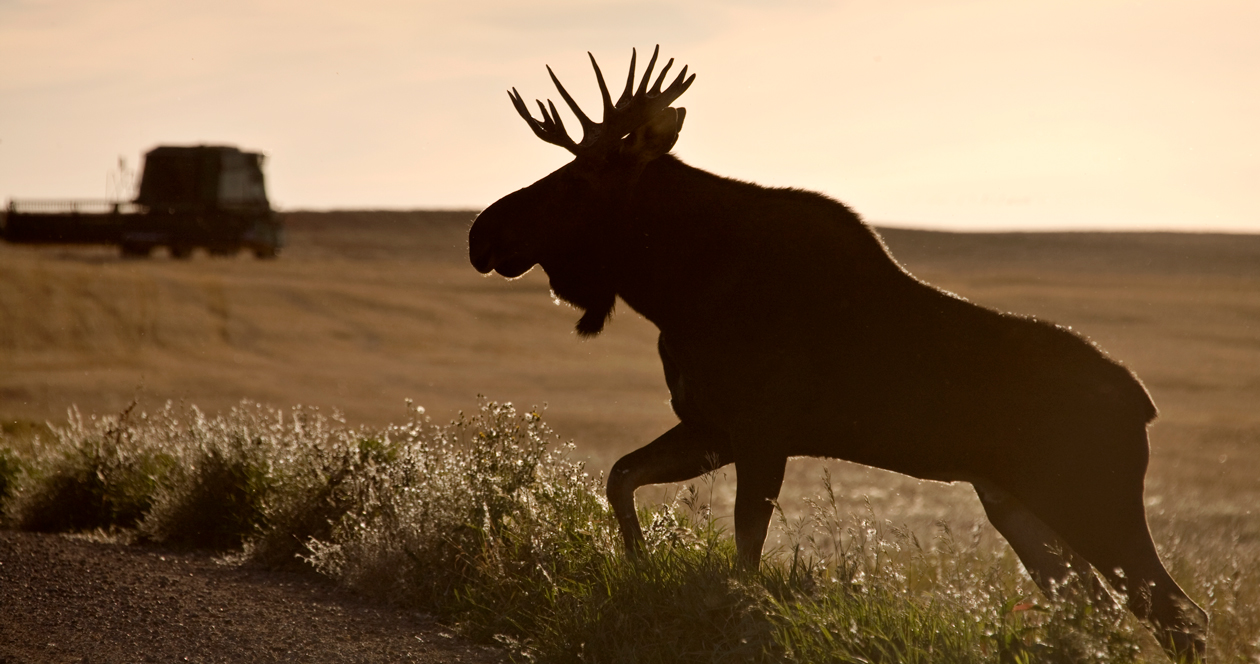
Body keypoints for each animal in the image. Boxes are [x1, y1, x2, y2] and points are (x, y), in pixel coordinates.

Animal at [467, 46, 1208, 661]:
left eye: (579, 179)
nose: (481, 233)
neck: (676, 289)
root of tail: (1143, 407)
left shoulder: (762, 431)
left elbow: (743, 558)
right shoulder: (712, 426)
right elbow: (621, 478)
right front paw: (639, 567)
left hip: (1089, 495)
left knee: (1178, 615)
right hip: (1018, 502)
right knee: (1096, 610)